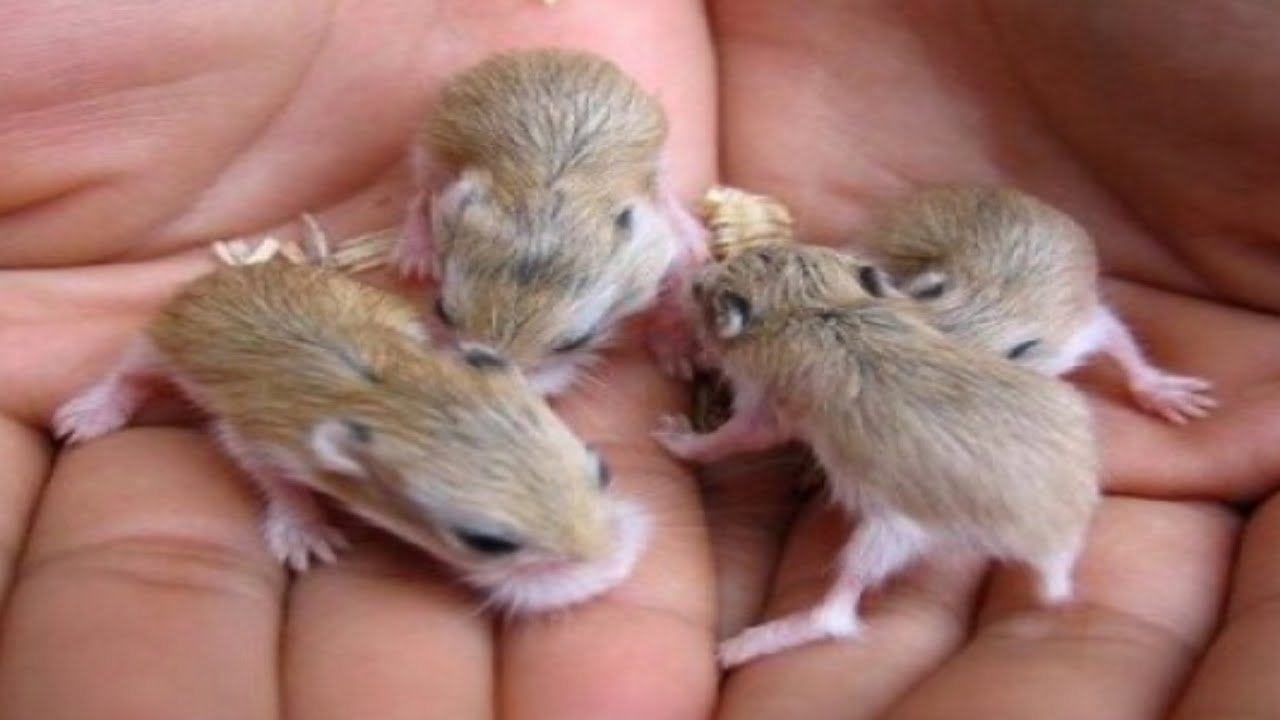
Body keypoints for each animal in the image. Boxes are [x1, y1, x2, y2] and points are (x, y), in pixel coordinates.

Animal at [52, 262, 649, 613]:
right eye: (485, 542)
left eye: (603, 469)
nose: (608, 560)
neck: (393, 397)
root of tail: (230, 271)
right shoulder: (255, 437)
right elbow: (278, 482)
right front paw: (310, 542)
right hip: (158, 340)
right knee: (129, 373)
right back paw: (86, 418)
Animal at [397, 47, 708, 396]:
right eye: (442, 311)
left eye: (576, 341)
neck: (546, 212)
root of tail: (556, 53)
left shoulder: (654, 252)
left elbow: (677, 287)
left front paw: (678, 363)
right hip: (430, 151)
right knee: (421, 195)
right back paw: (416, 261)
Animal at [653, 244, 1099, 667]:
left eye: (701, 291)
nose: (694, 272)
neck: (815, 305)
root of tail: (1063, 535)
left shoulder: (760, 407)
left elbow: (726, 439)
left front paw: (669, 434)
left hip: (888, 534)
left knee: (833, 617)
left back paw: (737, 648)